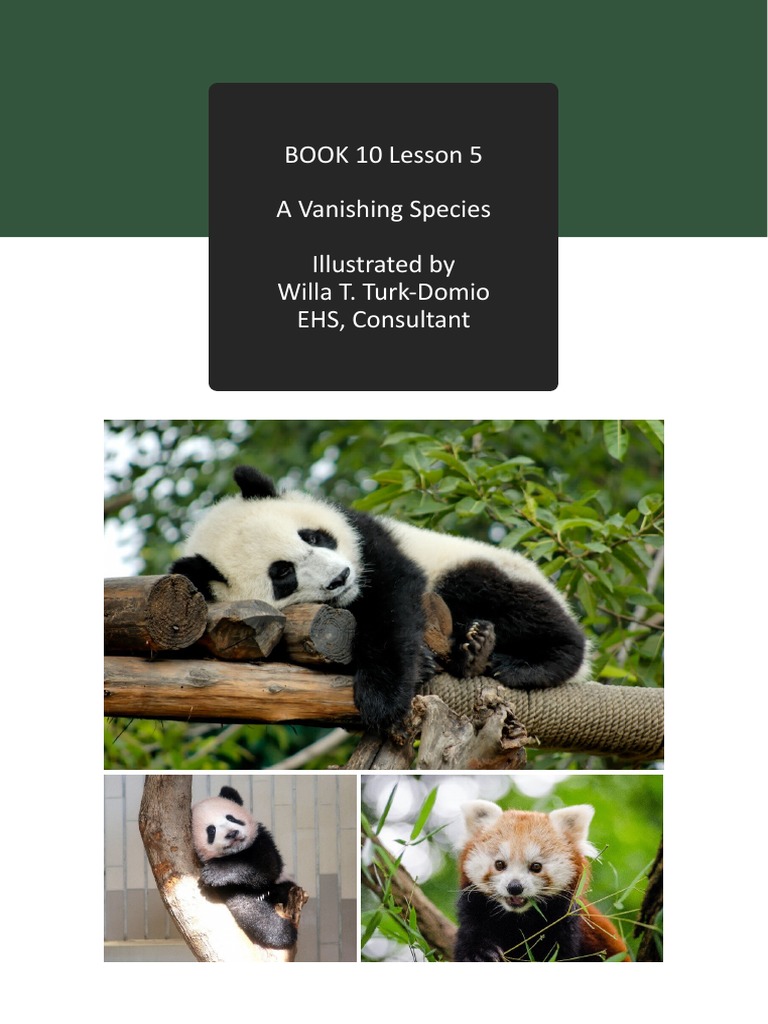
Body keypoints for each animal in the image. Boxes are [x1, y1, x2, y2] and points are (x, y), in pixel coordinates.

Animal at [171, 465, 590, 734]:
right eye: (283, 574)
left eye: (313, 536)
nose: (340, 578)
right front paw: (415, 669)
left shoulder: (369, 541)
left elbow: (393, 603)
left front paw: (382, 696)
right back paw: (472, 653)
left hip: (481, 567)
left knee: (498, 595)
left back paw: (523, 661)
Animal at [191, 785, 298, 950]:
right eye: (211, 830)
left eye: (231, 818)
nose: (232, 833)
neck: (236, 852)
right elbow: (247, 908)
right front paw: (282, 933)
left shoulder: (261, 840)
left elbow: (266, 865)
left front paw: (216, 872)